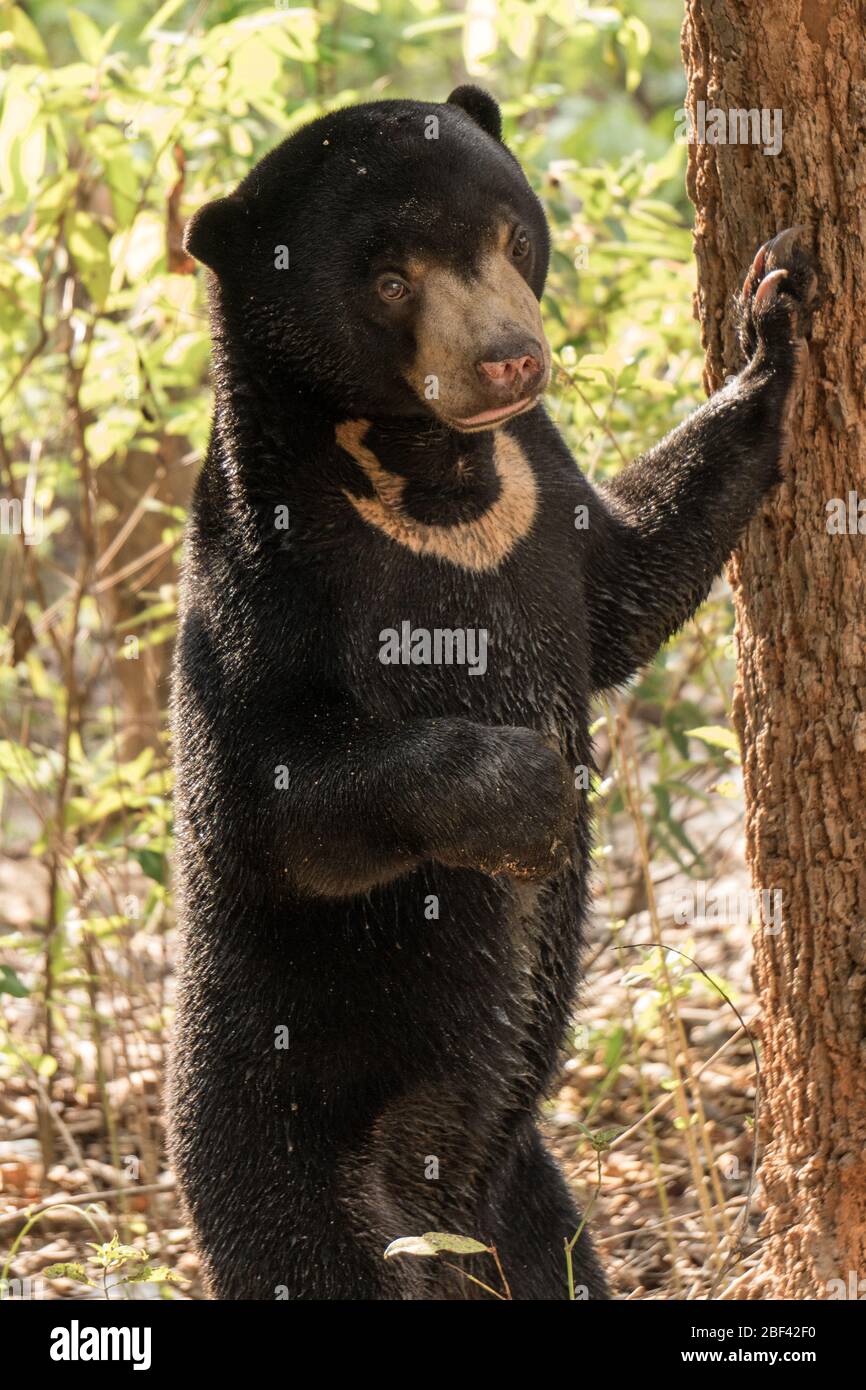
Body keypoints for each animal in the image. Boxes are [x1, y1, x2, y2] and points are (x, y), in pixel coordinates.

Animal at [169, 89, 817, 1301]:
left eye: (511, 236)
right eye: (387, 279)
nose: (510, 363)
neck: (433, 475)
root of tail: (444, 1195)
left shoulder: (542, 495)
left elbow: (629, 584)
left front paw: (776, 323)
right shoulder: (262, 575)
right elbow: (267, 793)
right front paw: (532, 806)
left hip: (529, 1203)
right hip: (285, 1153)